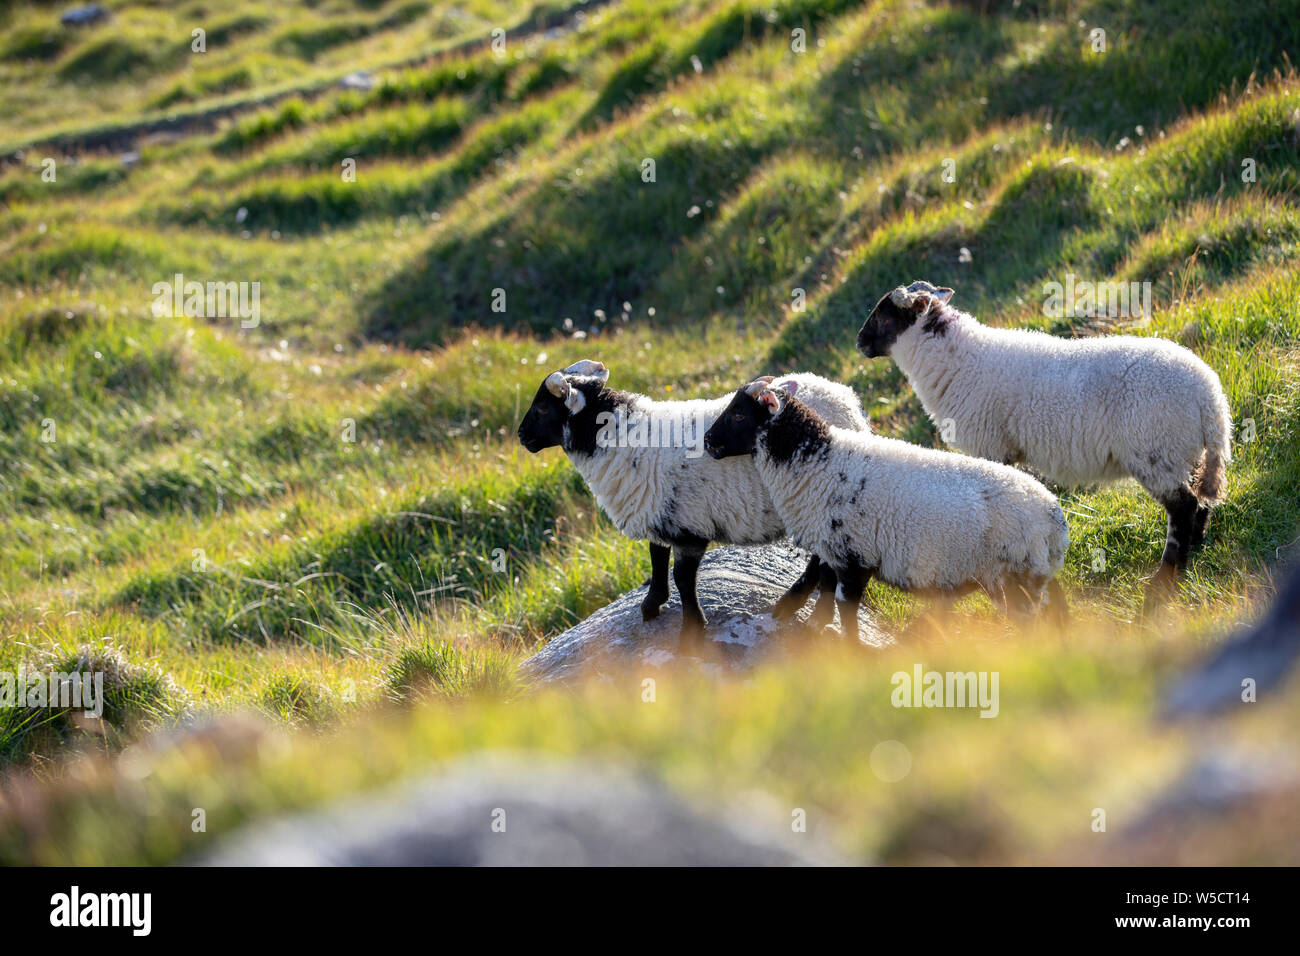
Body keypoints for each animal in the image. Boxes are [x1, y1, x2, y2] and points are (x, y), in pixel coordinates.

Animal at [516, 360, 871, 645]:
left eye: (543, 408)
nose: (520, 436)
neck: (620, 439)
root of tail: (844, 397)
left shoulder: (689, 524)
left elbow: (683, 578)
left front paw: (691, 631)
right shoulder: (658, 510)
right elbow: (657, 558)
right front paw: (651, 605)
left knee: (824, 564)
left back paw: (804, 610)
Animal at [702, 379, 1070, 642]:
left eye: (738, 414)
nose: (706, 441)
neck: (816, 460)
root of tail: (1054, 519)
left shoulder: (855, 553)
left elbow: (844, 602)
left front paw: (850, 647)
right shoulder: (833, 546)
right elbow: (823, 584)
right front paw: (812, 623)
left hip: (1013, 577)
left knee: (1033, 622)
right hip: (1031, 574)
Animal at [856, 280, 1233, 589]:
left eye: (882, 314)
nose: (859, 343)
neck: (954, 359)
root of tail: (1210, 396)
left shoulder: (990, 445)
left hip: (1155, 450)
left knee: (1183, 507)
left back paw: (1166, 575)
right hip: (1182, 451)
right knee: (1199, 501)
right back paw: (1195, 547)